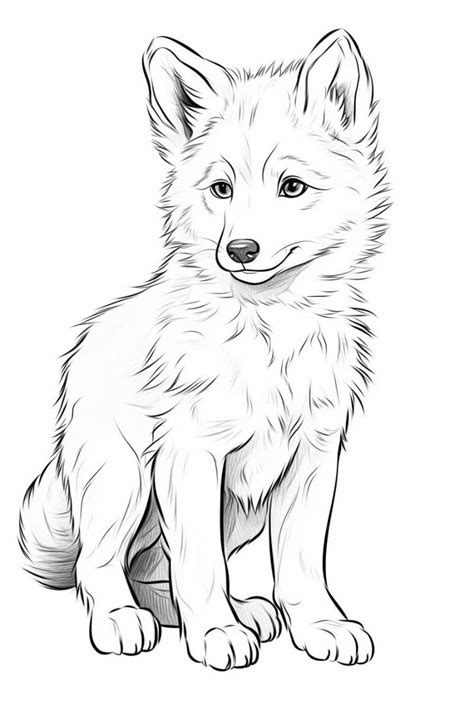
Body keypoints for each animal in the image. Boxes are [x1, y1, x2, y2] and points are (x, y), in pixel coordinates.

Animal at [19, 29, 389, 670]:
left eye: (292, 188)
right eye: (221, 189)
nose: (239, 250)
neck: (269, 333)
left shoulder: (314, 458)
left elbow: (300, 564)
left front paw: (319, 626)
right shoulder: (190, 455)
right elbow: (201, 566)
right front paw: (216, 633)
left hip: (235, 509)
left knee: (151, 571)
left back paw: (245, 611)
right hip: (124, 481)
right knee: (100, 565)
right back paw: (122, 621)